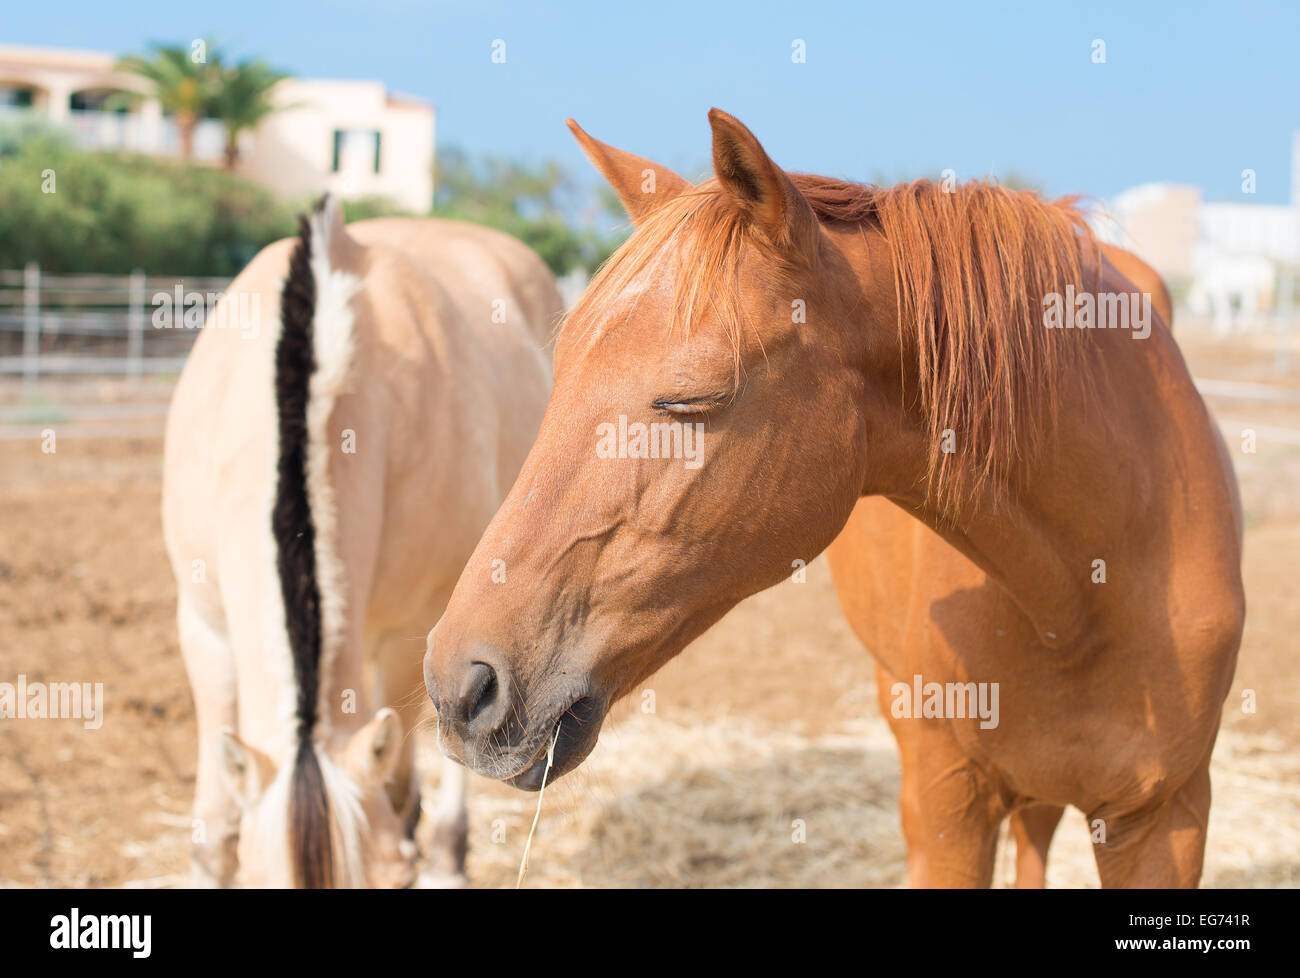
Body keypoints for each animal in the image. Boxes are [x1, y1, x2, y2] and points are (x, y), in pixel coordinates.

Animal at [163, 196, 558, 887]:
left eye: (393, 881)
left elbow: (400, 789)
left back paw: (449, 850)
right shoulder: (204, 629)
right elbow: (215, 830)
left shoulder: (409, 635)